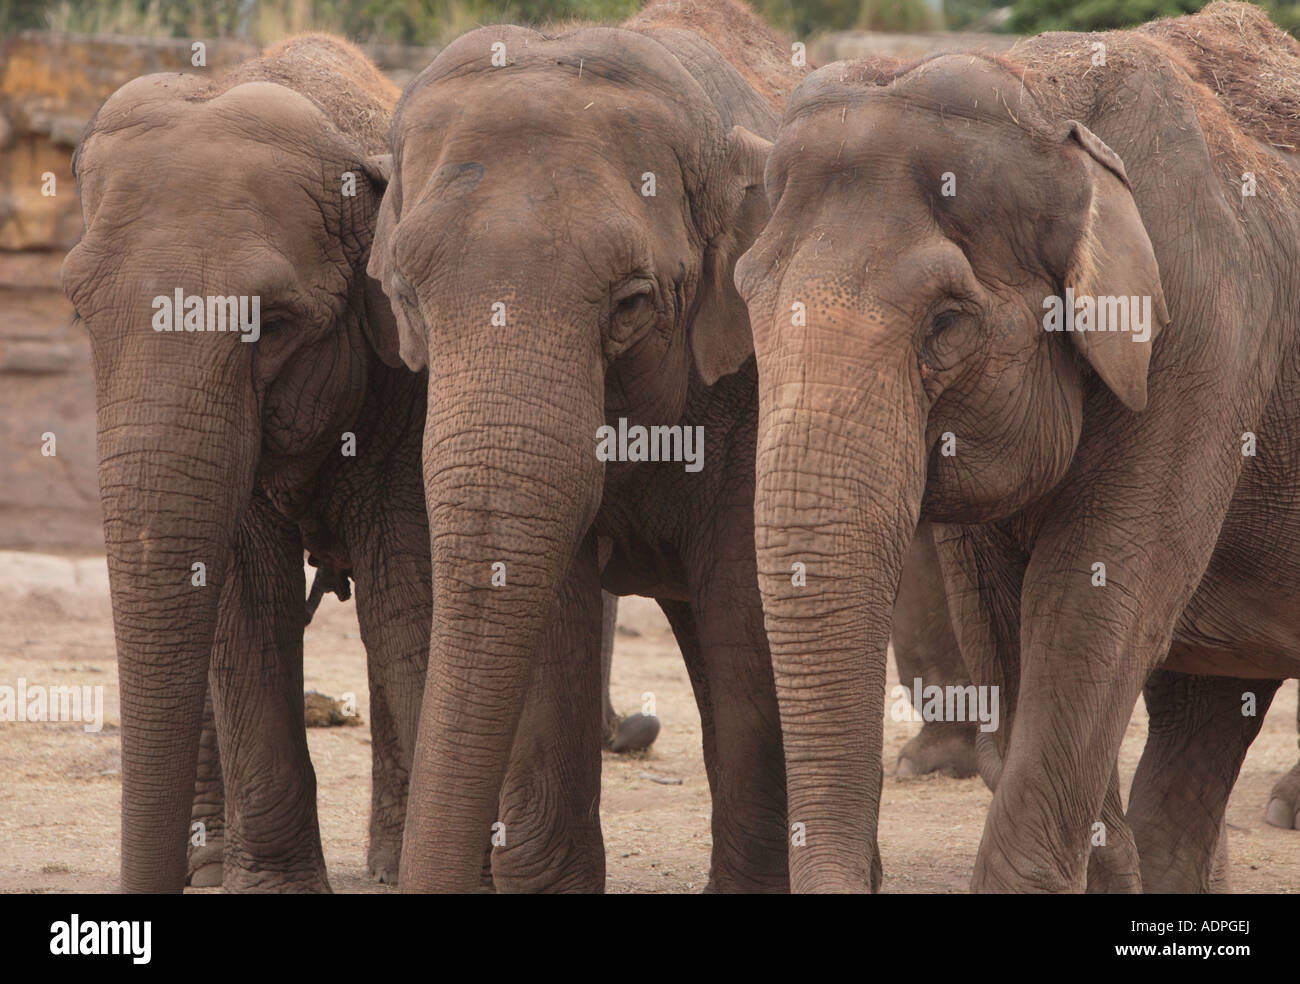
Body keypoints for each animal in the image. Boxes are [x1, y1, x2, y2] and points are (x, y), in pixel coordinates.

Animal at [736, 0, 1300, 892]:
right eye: (745, 296)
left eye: (947, 323)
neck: (1043, 95)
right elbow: (1005, 631)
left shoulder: (1204, 347)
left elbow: (1090, 611)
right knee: (1201, 711)